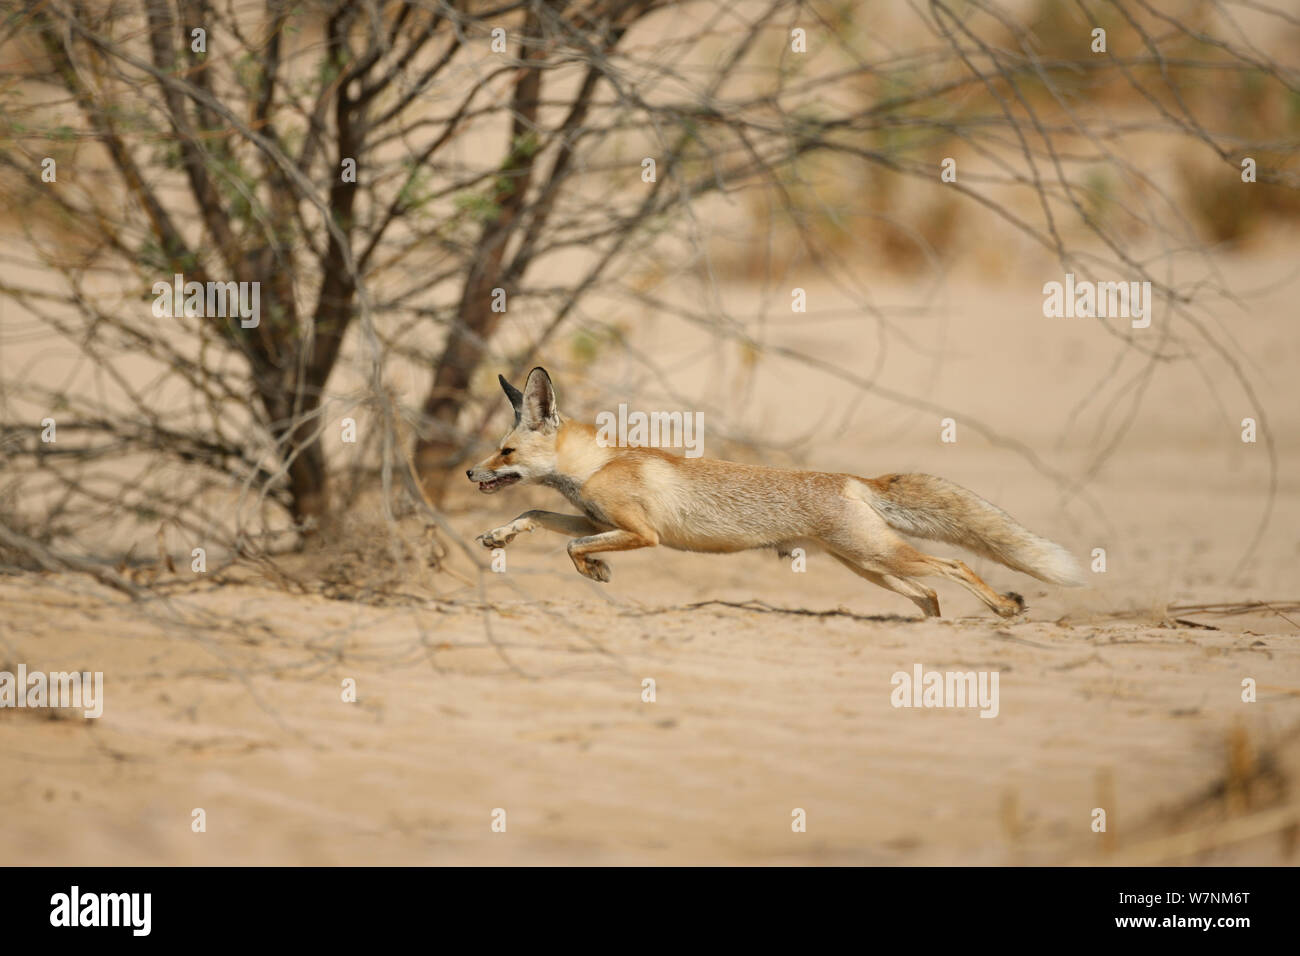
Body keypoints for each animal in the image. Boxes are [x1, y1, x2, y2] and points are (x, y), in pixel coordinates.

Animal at [468, 368, 1085, 618]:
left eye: (505, 452)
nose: (472, 474)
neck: (598, 465)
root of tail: (849, 478)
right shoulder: (595, 519)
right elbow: (535, 513)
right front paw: (499, 535)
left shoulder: (641, 533)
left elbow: (572, 547)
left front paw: (596, 572)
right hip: (867, 564)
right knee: (928, 593)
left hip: (877, 554)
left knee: (955, 567)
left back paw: (1004, 607)